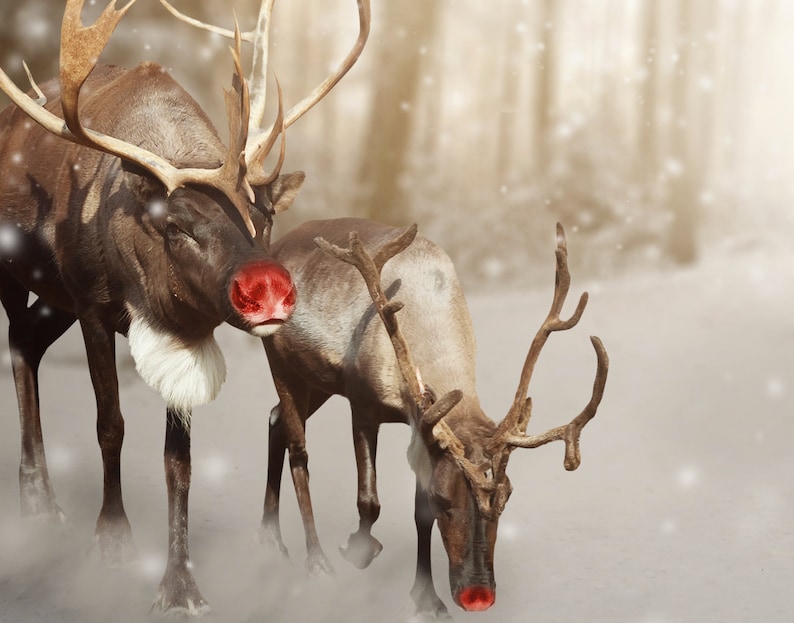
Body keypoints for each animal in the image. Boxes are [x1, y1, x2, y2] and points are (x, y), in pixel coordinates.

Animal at [0, 0, 369, 615]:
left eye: (263, 214)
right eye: (175, 225)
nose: (268, 287)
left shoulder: (180, 329)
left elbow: (180, 460)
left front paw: (180, 587)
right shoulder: (92, 303)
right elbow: (110, 424)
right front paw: (112, 542)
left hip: (56, 303)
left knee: (26, 341)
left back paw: (38, 499)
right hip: (19, 273)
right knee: (15, 345)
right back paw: (40, 503)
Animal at [259, 218, 609, 617]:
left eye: (506, 497)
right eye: (443, 499)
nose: (477, 596)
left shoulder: (422, 430)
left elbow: (418, 514)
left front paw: (427, 598)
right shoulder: (362, 403)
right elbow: (369, 500)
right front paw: (358, 549)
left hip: (318, 382)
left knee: (275, 420)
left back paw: (269, 537)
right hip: (280, 359)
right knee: (298, 448)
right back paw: (315, 560)